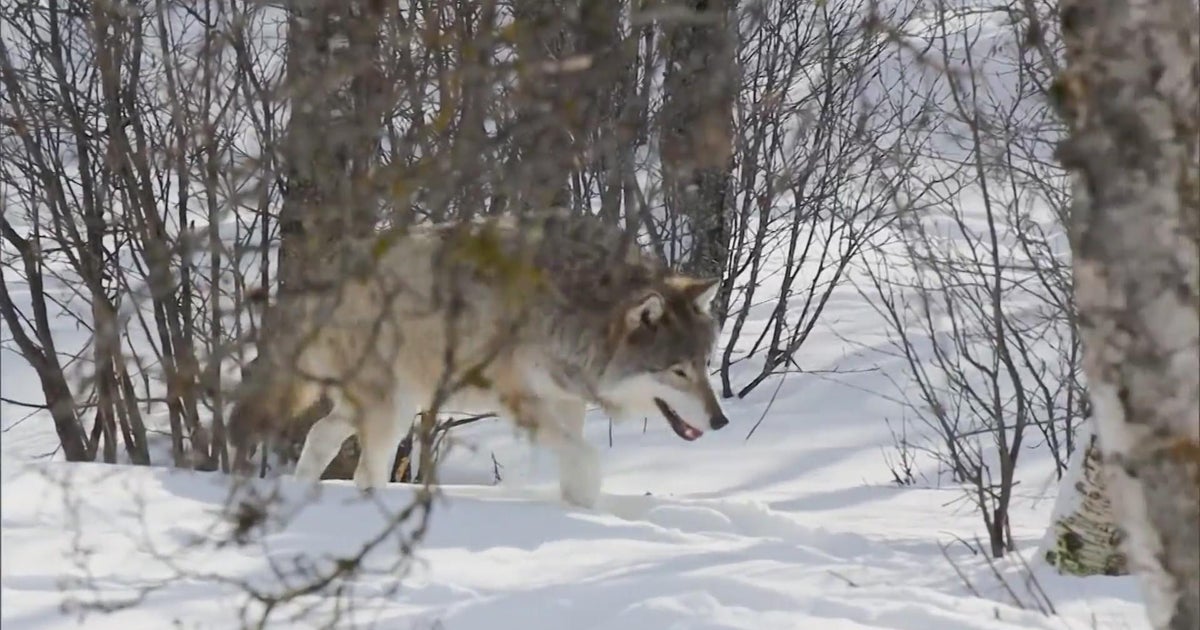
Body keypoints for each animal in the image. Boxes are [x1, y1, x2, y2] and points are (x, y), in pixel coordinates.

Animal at [228, 209, 729, 508]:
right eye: (678, 371)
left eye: (706, 363)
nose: (721, 420)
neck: (572, 309)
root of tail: (319, 273)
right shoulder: (519, 398)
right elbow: (584, 454)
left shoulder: (567, 398)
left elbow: (574, 455)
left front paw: (578, 509)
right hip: (388, 410)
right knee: (364, 468)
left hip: (392, 405)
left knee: (320, 435)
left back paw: (302, 495)